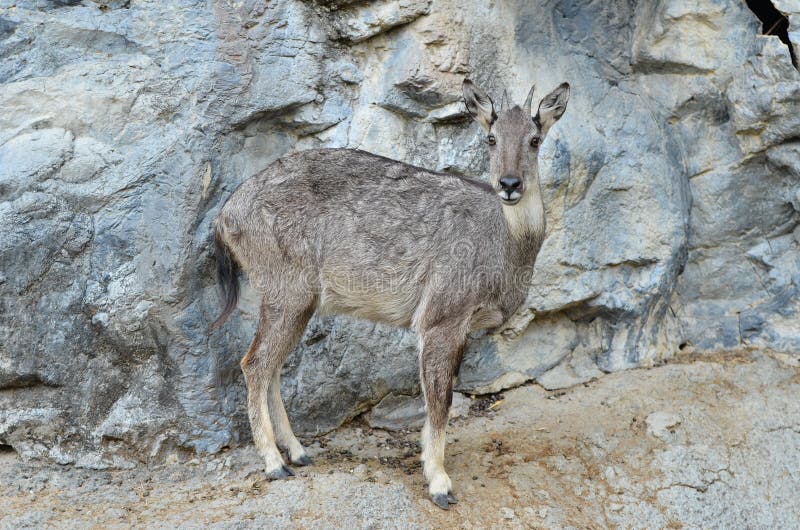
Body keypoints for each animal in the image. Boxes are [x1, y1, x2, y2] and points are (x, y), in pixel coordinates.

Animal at [211, 78, 570, 509]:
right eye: (491, 137)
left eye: (535, 138)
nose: (511, 185)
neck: (502, 243)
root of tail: (226, 217)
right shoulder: (440, 317)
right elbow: (440, 400)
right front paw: (440, 484)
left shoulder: (461, 327)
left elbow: (441, 397)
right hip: (287, 290)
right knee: (255, 363)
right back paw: (273, 463)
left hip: (296, 302)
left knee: (272, 366)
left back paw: (298, 452)